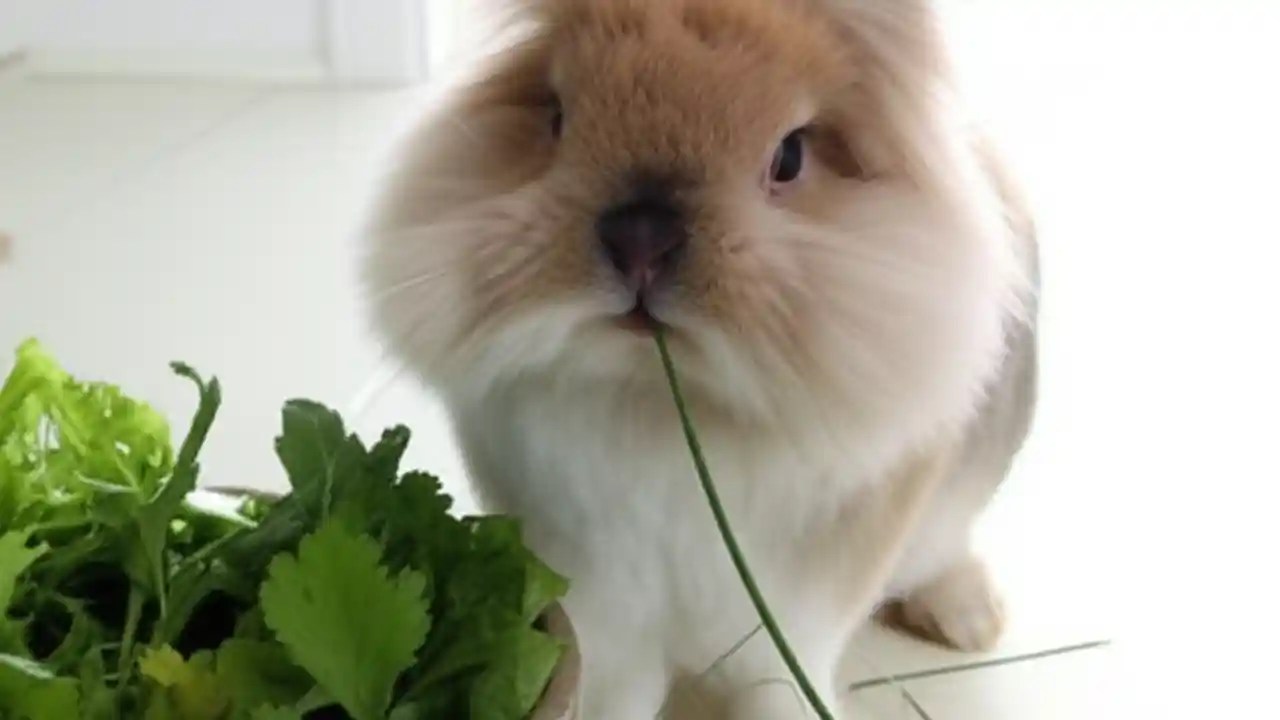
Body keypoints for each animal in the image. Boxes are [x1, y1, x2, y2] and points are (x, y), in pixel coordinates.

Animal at [364, 0, 1038, 717]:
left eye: (790, 156)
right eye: (556, 117)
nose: (639, 240)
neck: (658, 399)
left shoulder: (794, 616)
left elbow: (777, 683)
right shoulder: (597, 601)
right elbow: (614, 686)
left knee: (944, 548)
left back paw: (970, 621)